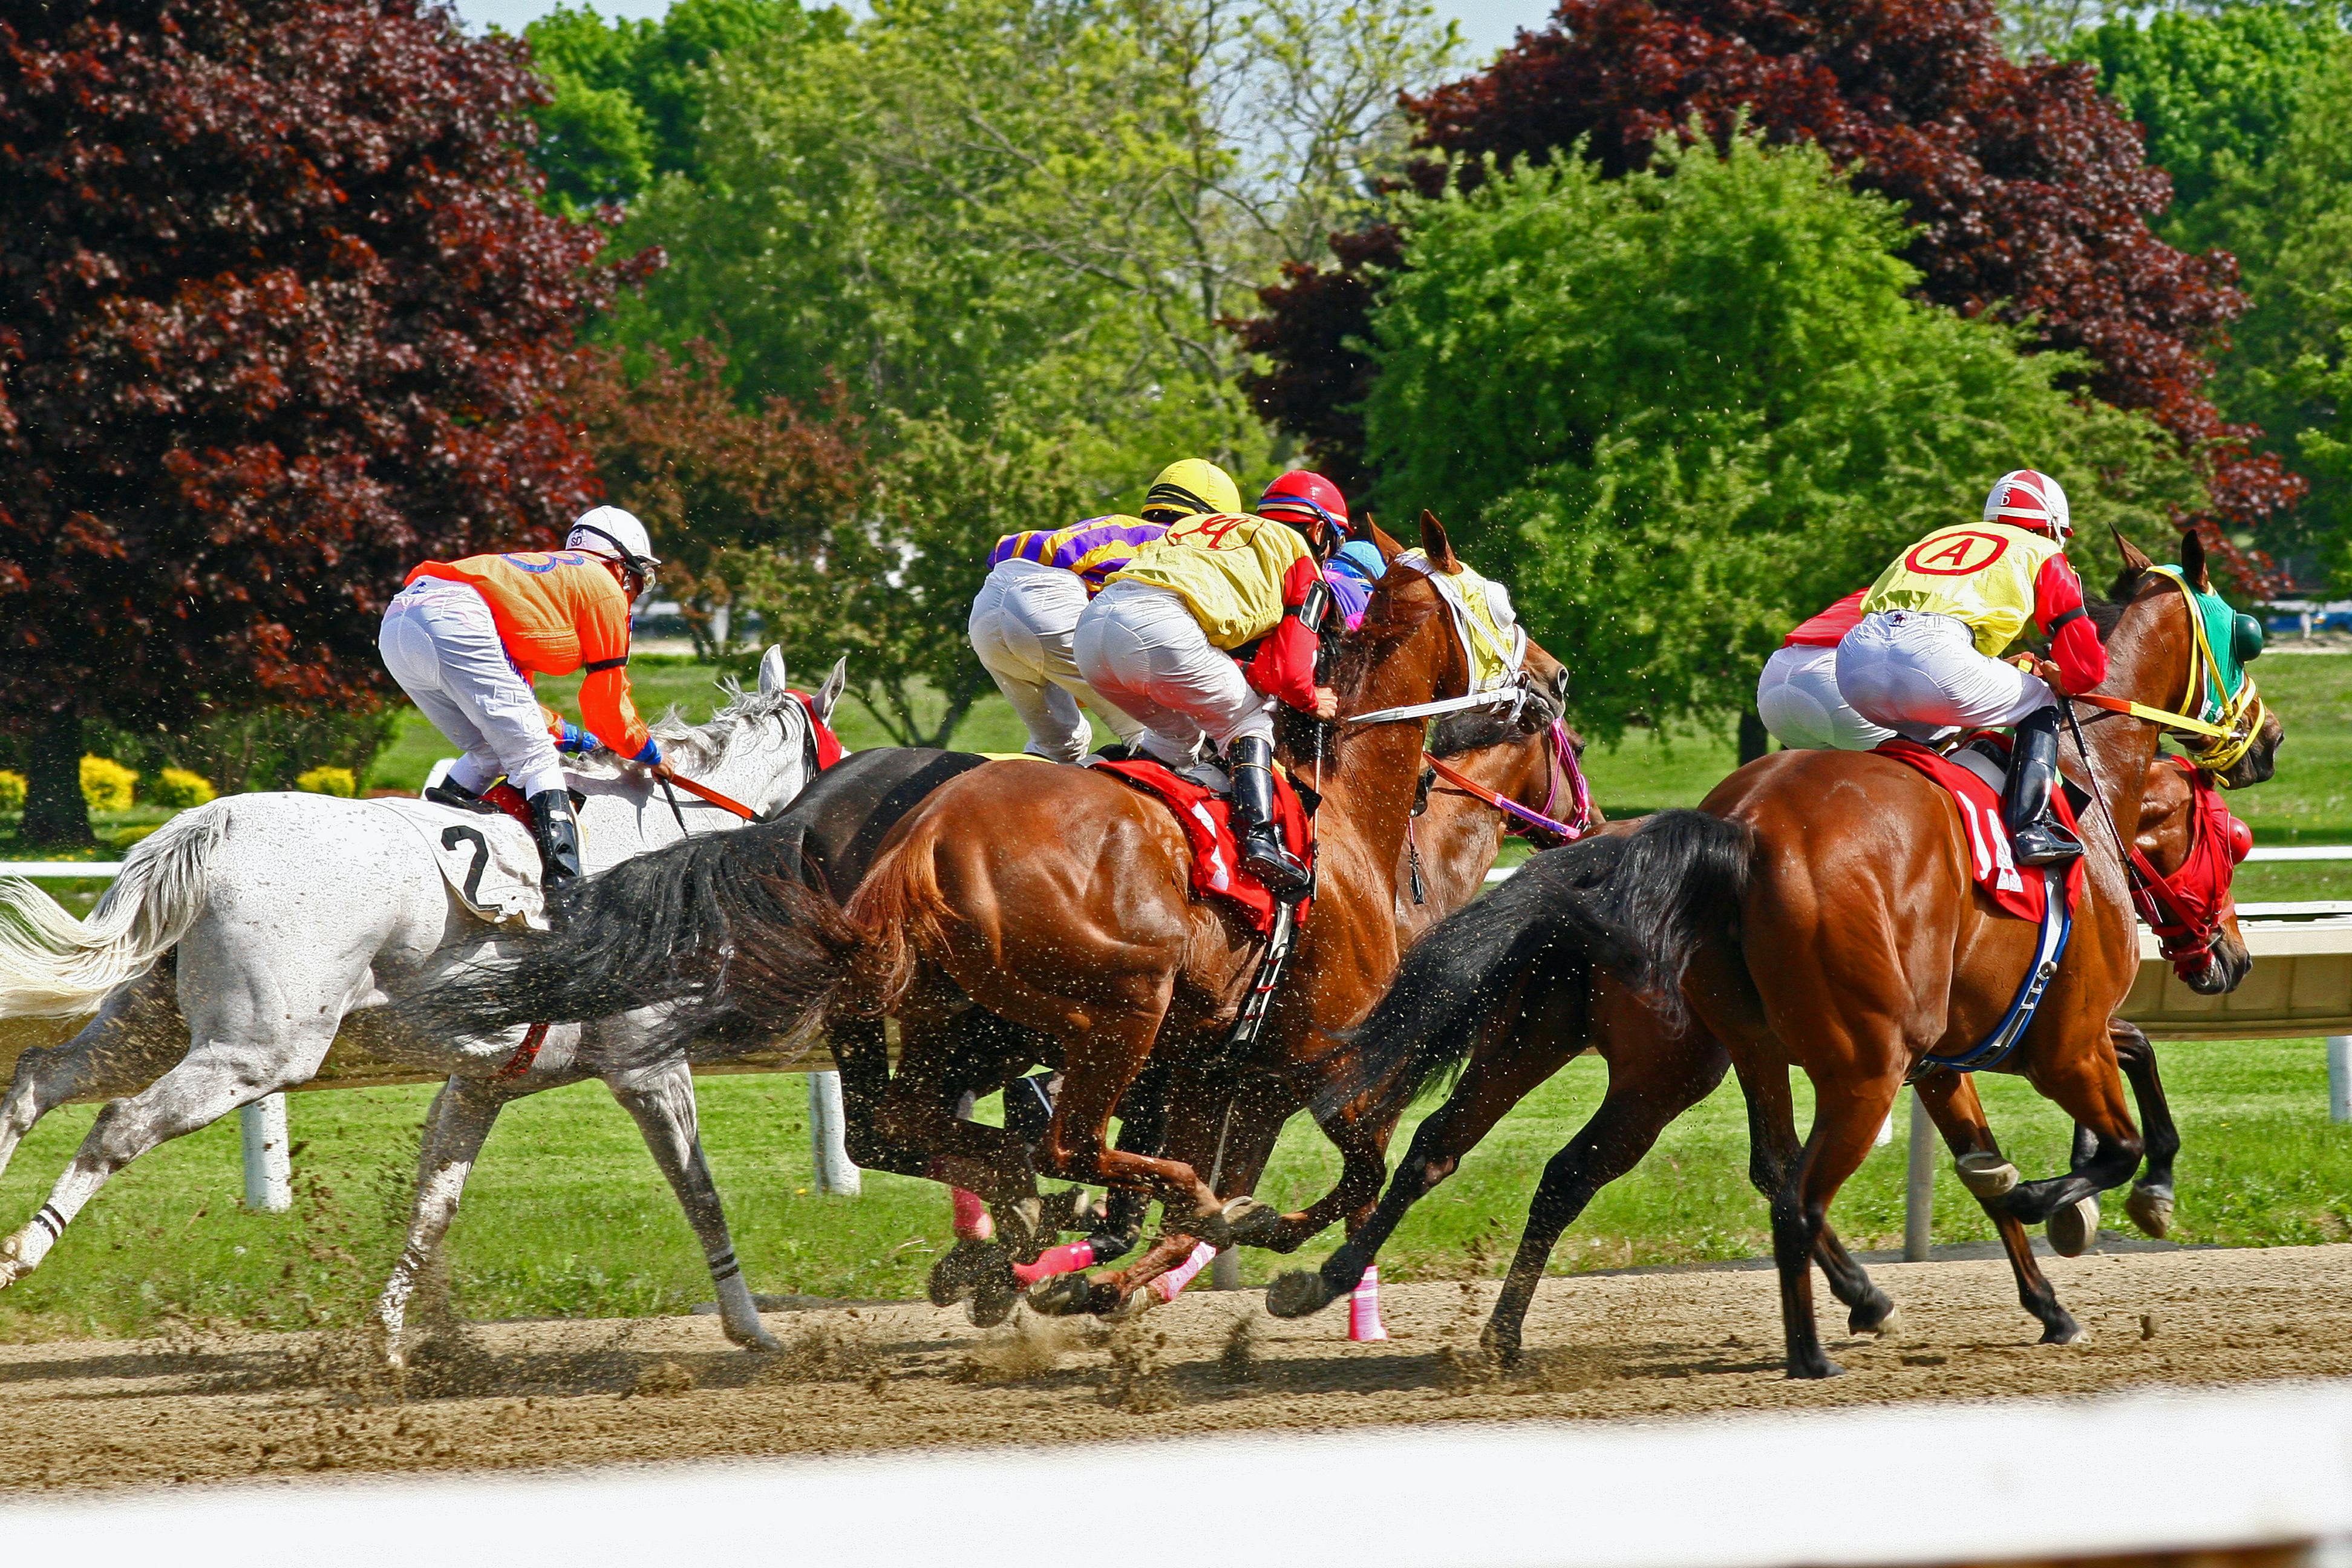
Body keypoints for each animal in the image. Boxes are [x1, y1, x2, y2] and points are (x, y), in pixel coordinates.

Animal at [0, 648, 840, 1359]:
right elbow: (700, 1191)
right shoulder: (648, 1065)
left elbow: (434, 1205)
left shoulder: (484, 1080)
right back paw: (21, 1253)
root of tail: (213, 821)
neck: (665, 842)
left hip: (151, 1020)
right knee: (120, 1123)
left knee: (40, 1078)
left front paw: (390, 1338)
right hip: (258, 1049)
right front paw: (751, 1328)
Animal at [1267, 745, 2251, 1356]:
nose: (2233, 960)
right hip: (1707, 1068)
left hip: (1549, 1034)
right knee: (1631, 1174)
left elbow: (2102, 1081)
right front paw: (2077, 1206)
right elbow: (2091, 1137)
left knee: (1443, 1144)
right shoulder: (2046, 1044)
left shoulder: (1959, 1057)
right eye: (2228, 837)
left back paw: (1352, 1290)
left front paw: (2067, 1271)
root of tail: (1728, 835)